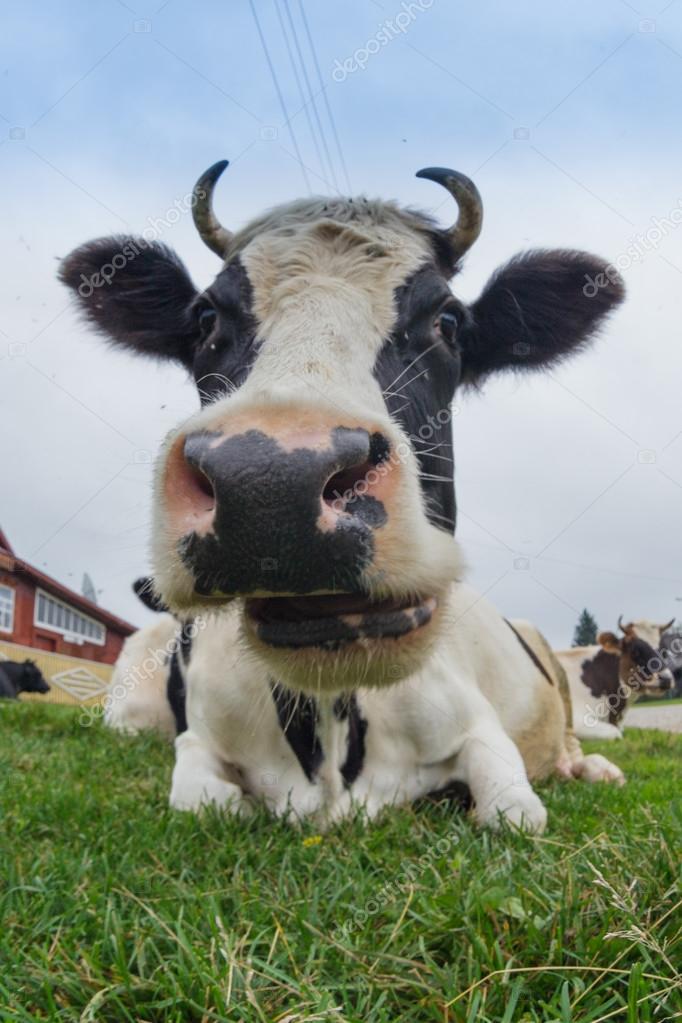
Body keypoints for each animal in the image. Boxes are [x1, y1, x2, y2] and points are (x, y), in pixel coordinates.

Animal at [59, 160, 627, 831]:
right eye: (205, 320)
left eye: (448, 321)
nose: (272, 481)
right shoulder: (195, 746)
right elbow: (206, 802)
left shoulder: (482, 730)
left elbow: (516, 815)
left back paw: (592, 766)